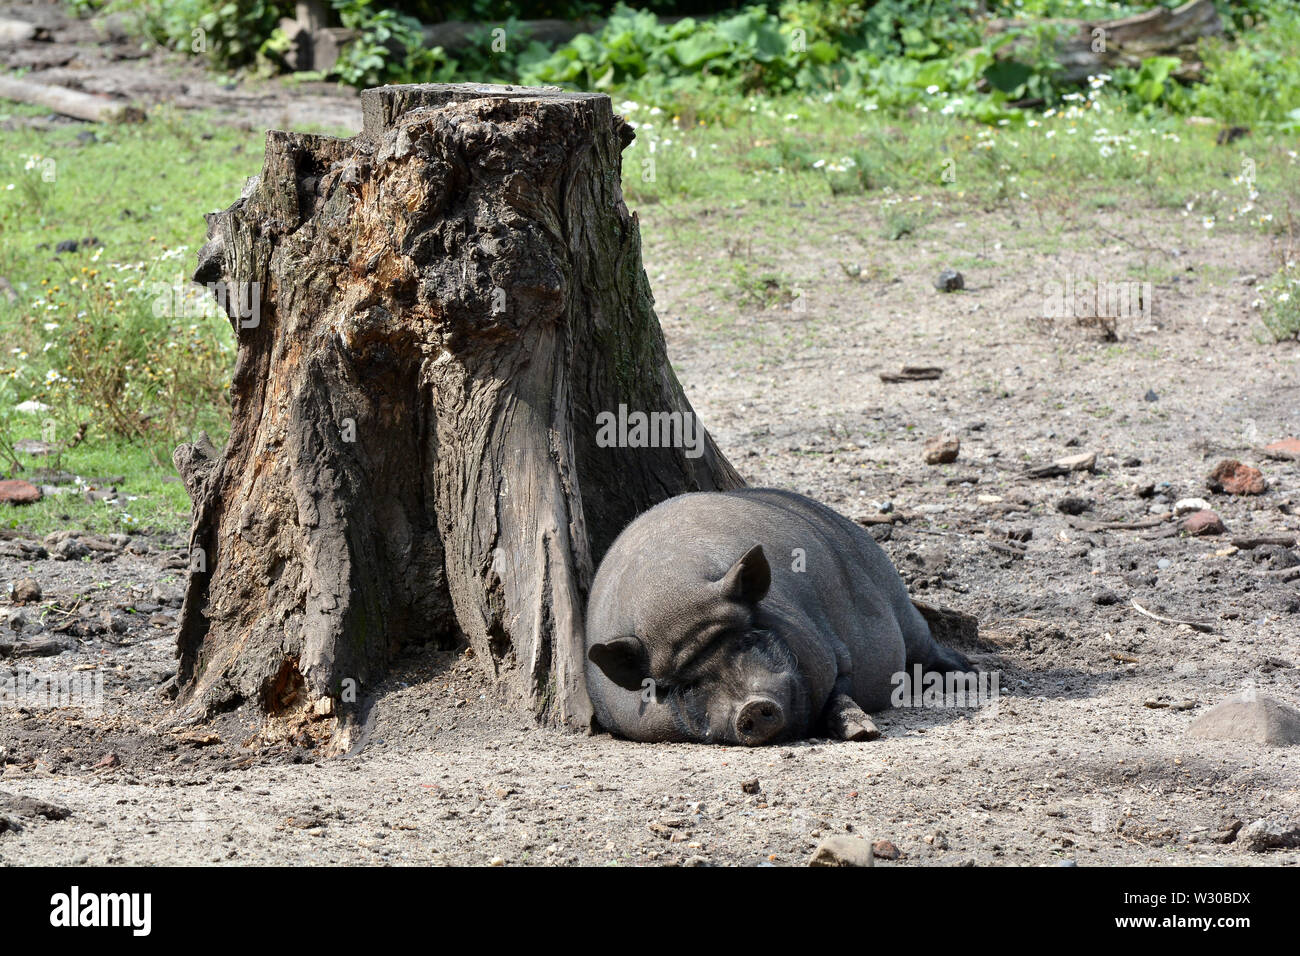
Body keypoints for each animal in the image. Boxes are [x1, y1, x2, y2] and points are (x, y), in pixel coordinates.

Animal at [584, 487, 973, 745]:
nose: (752, 706)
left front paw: (863, 732)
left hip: (901, 607)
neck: (670, 591)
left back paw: (969, 673)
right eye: (685, 685)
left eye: (748, 639)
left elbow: (840, 690)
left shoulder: (833, 651)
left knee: (926, 647)